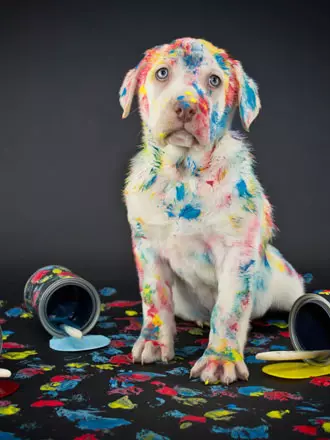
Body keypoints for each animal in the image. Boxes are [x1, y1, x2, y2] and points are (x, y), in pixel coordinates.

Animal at [120, 36, 306, 384]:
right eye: (162, 73)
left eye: (215, 81)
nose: (185, 106)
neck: (183, 176)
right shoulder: (147, 248)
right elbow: (155, 300)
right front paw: (154, 342)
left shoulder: (237, 254)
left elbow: (228, 309)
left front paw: (220, 359)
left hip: (285, 281)